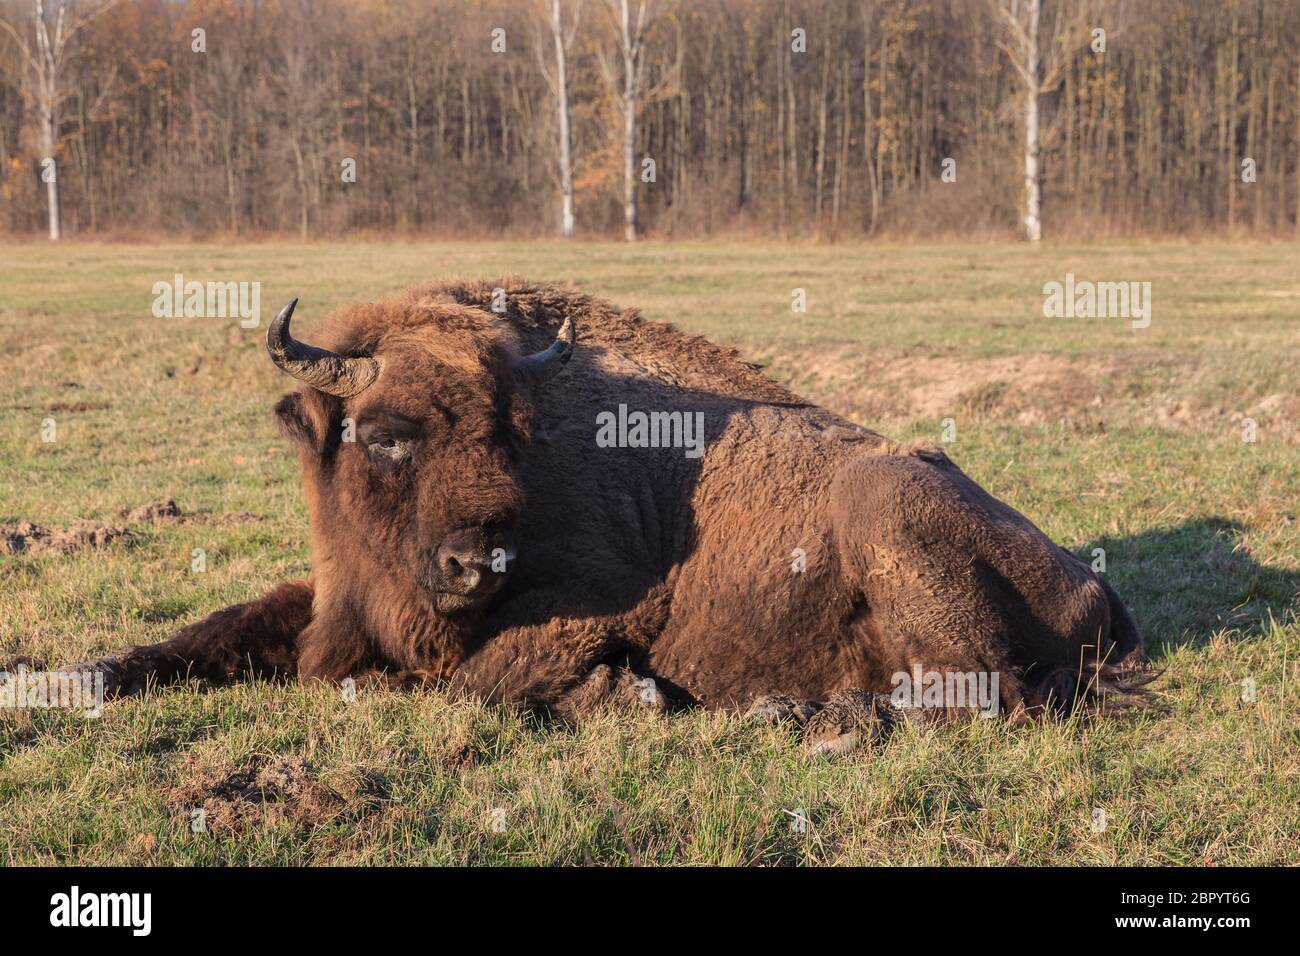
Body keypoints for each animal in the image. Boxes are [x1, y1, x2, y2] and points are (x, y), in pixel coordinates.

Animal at [62, 281, 1148, 751]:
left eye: (513, 431)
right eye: (385, 434)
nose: (476, 563)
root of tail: (1094, 584)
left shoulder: (600, 609)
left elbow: (461, 687)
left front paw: (632, 697)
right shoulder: (332, 596)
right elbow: (217, 631)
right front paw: (79, 675)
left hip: (887, 514)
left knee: (981, 694)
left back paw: (806, 717)